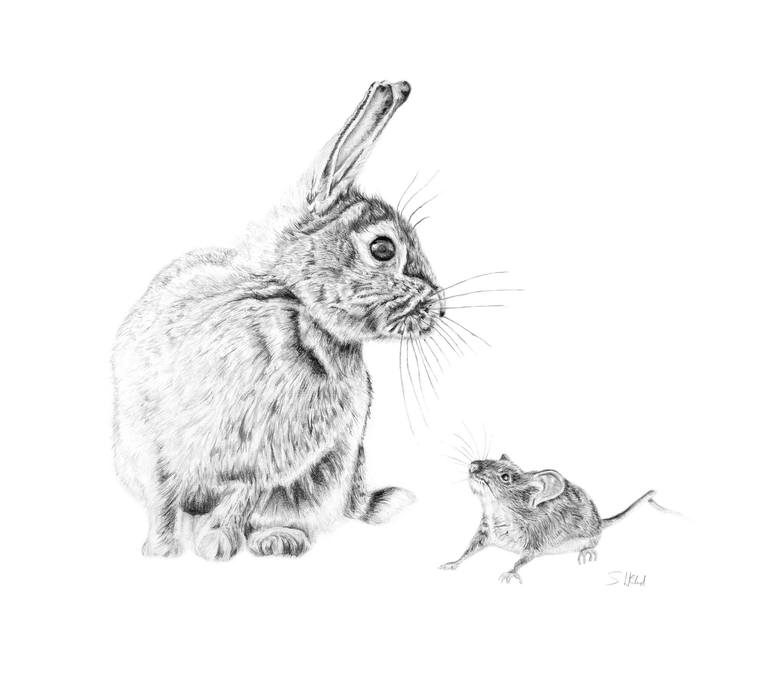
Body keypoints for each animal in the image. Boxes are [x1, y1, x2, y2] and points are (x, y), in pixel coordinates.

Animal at [112, 80, 446, 560]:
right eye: (383, 249)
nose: (439, 310)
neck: (293, 304)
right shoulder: (151, 437)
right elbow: (162, 495)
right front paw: (161, 550)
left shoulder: (271, 460)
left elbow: (244, 494)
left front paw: (216, 545)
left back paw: (277, 540)